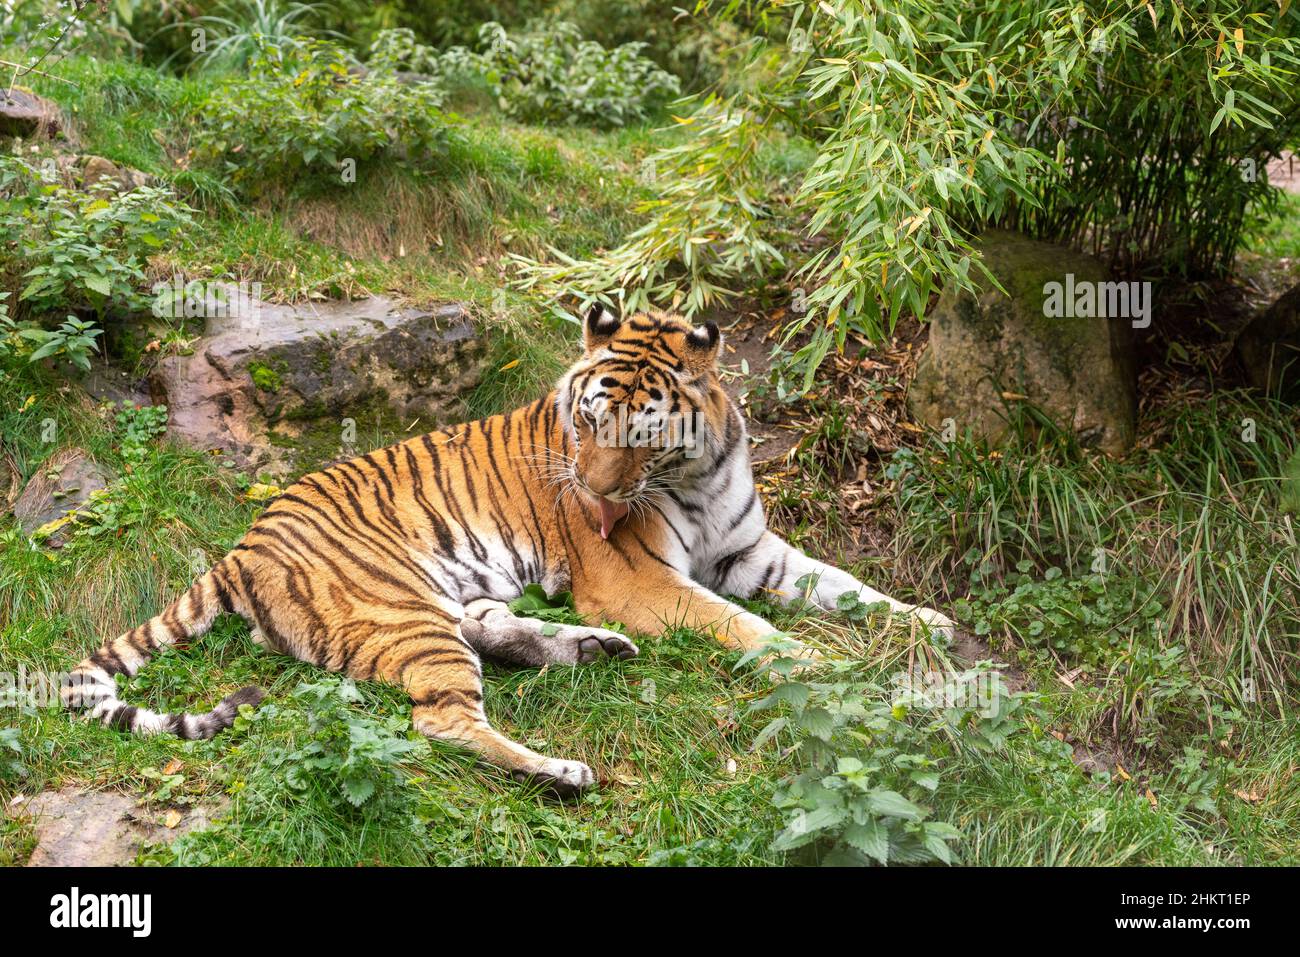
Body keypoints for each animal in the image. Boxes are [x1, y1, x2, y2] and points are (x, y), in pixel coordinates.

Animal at [62, 305, 954, 794]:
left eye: (641, 432)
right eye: (589, 420)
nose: (590, 494)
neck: (696, 472)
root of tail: (240, 547)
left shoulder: (751, 551)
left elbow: (844, 584)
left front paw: (930, 625)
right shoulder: (640, 582)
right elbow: (744, 625)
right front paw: (827, 664)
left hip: (442, 597)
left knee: (492, 632)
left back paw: (591, 649)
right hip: (401, 606)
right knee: (443, 718)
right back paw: (564, 769)